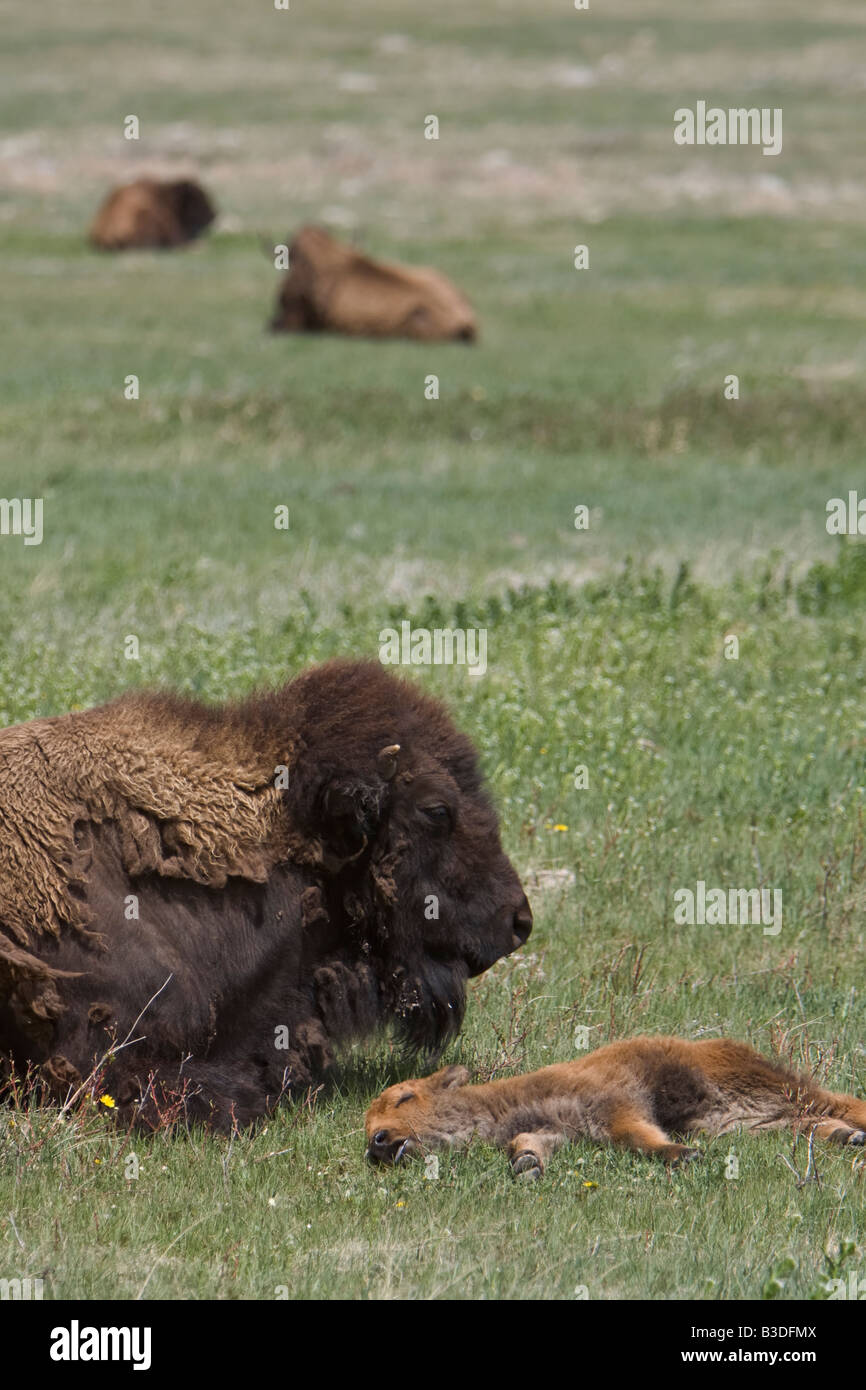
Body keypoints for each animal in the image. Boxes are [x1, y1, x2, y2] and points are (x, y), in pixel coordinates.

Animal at [365, 1035, 866, 1178]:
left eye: (404, 1097)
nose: (376, 1142)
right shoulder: (556, 1129)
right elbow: (530, 1142)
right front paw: (526, 1164)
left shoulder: (615, 1105)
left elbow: (636, 1135)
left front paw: (682, 1155)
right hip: (744, 1122)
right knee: (806, 1123)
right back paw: (848, 1138)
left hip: (767, 1086)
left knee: (838, 1101)